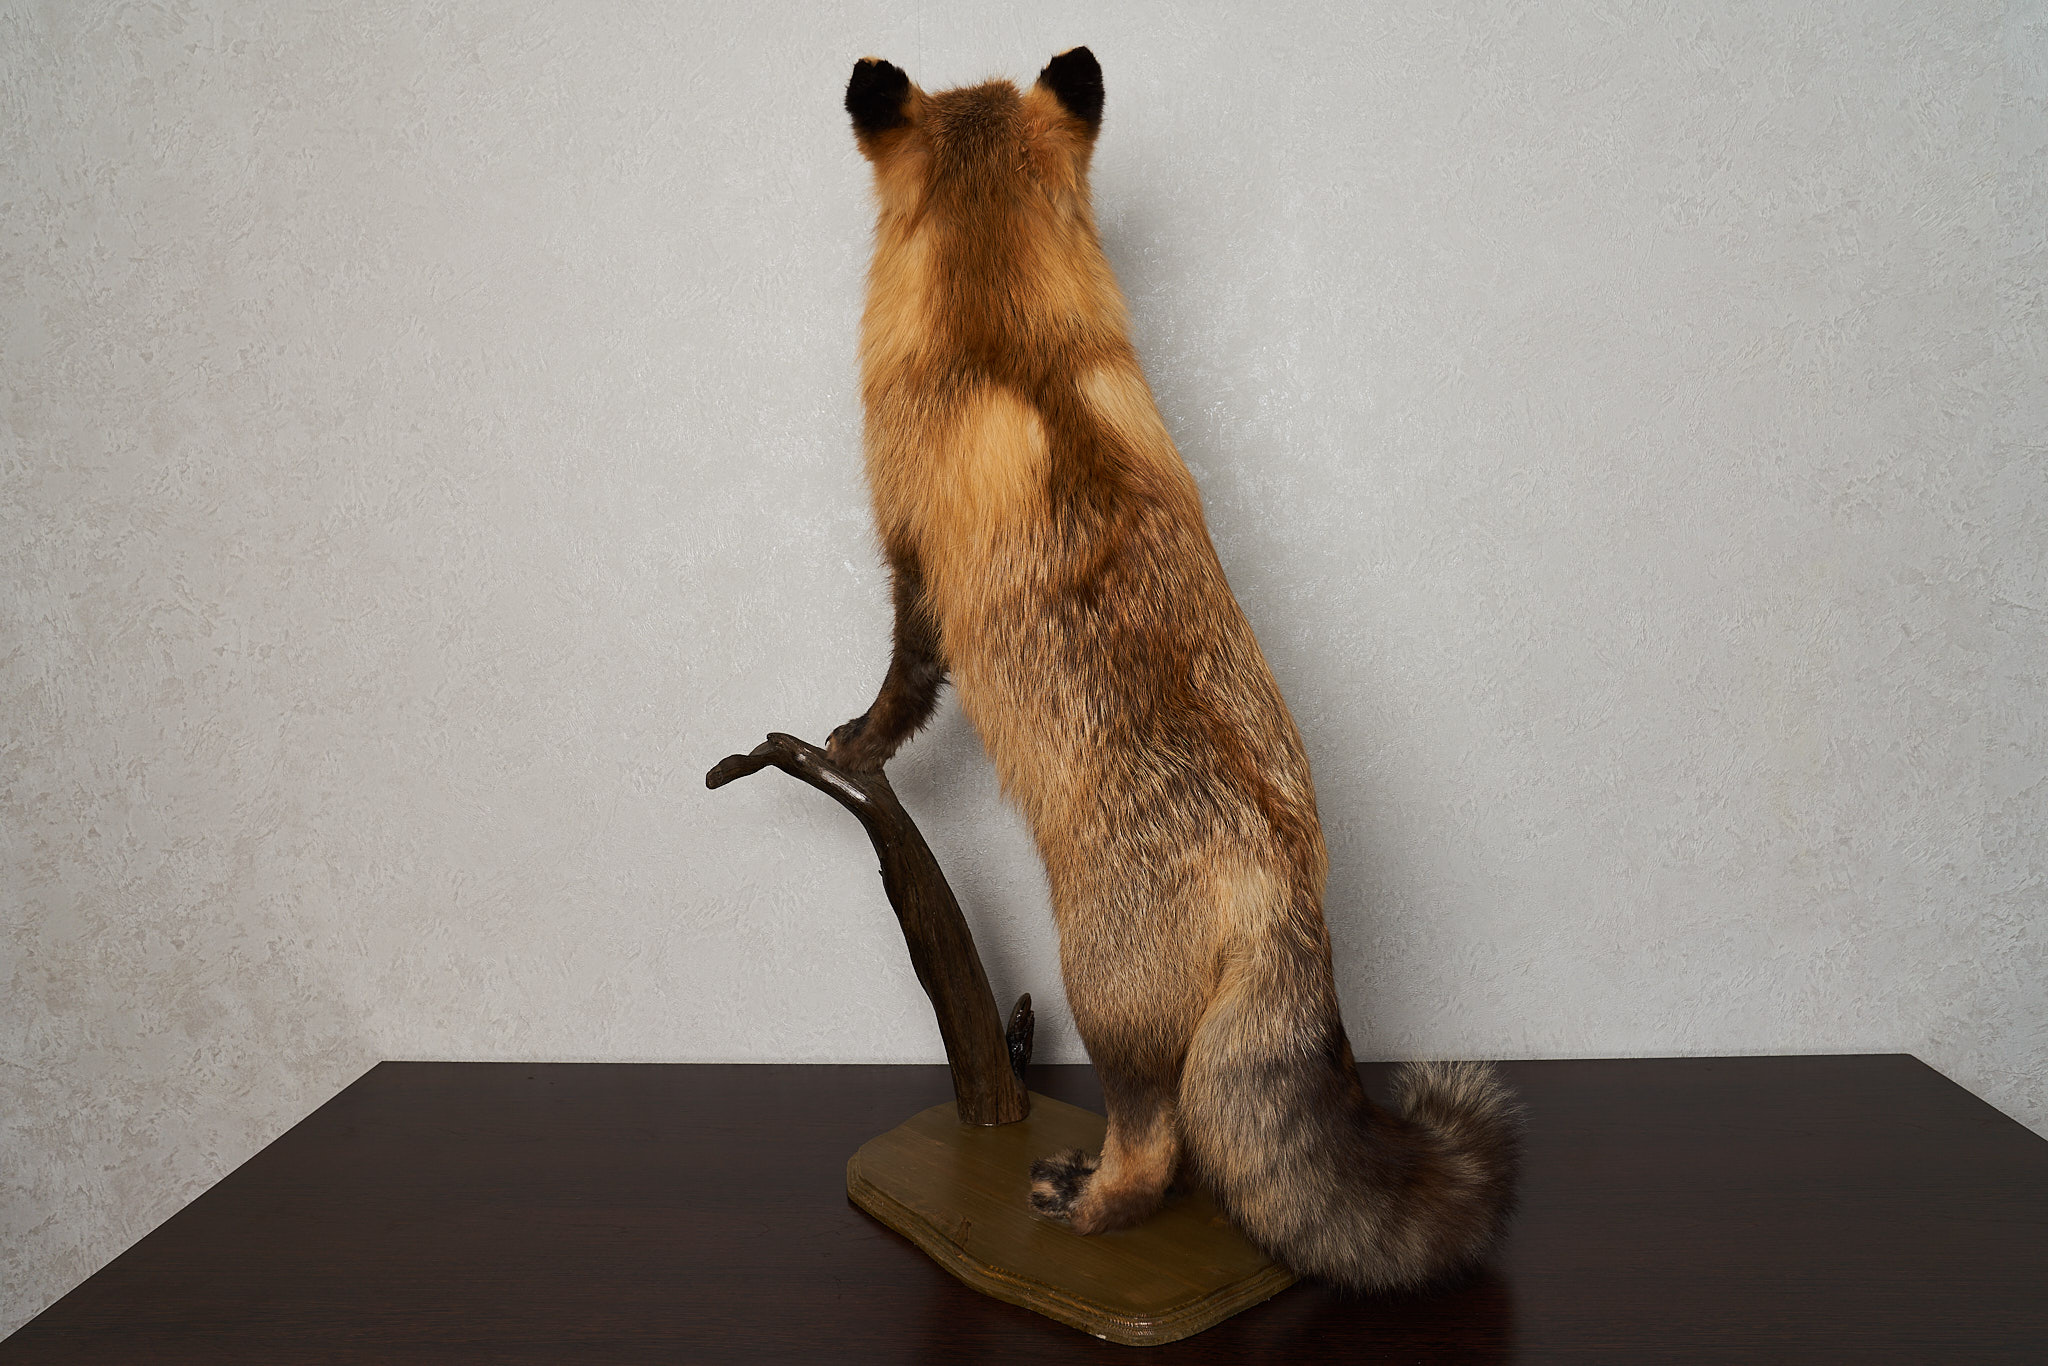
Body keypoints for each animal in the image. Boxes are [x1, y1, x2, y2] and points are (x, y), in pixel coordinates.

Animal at [827, 47, 1523, 1291]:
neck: (1010, 338)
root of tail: (1282, 884)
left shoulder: (911, 556)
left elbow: (905, 683)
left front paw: (856, 743)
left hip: (1100, 996)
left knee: (1157, 1142)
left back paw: (1093, 1204)